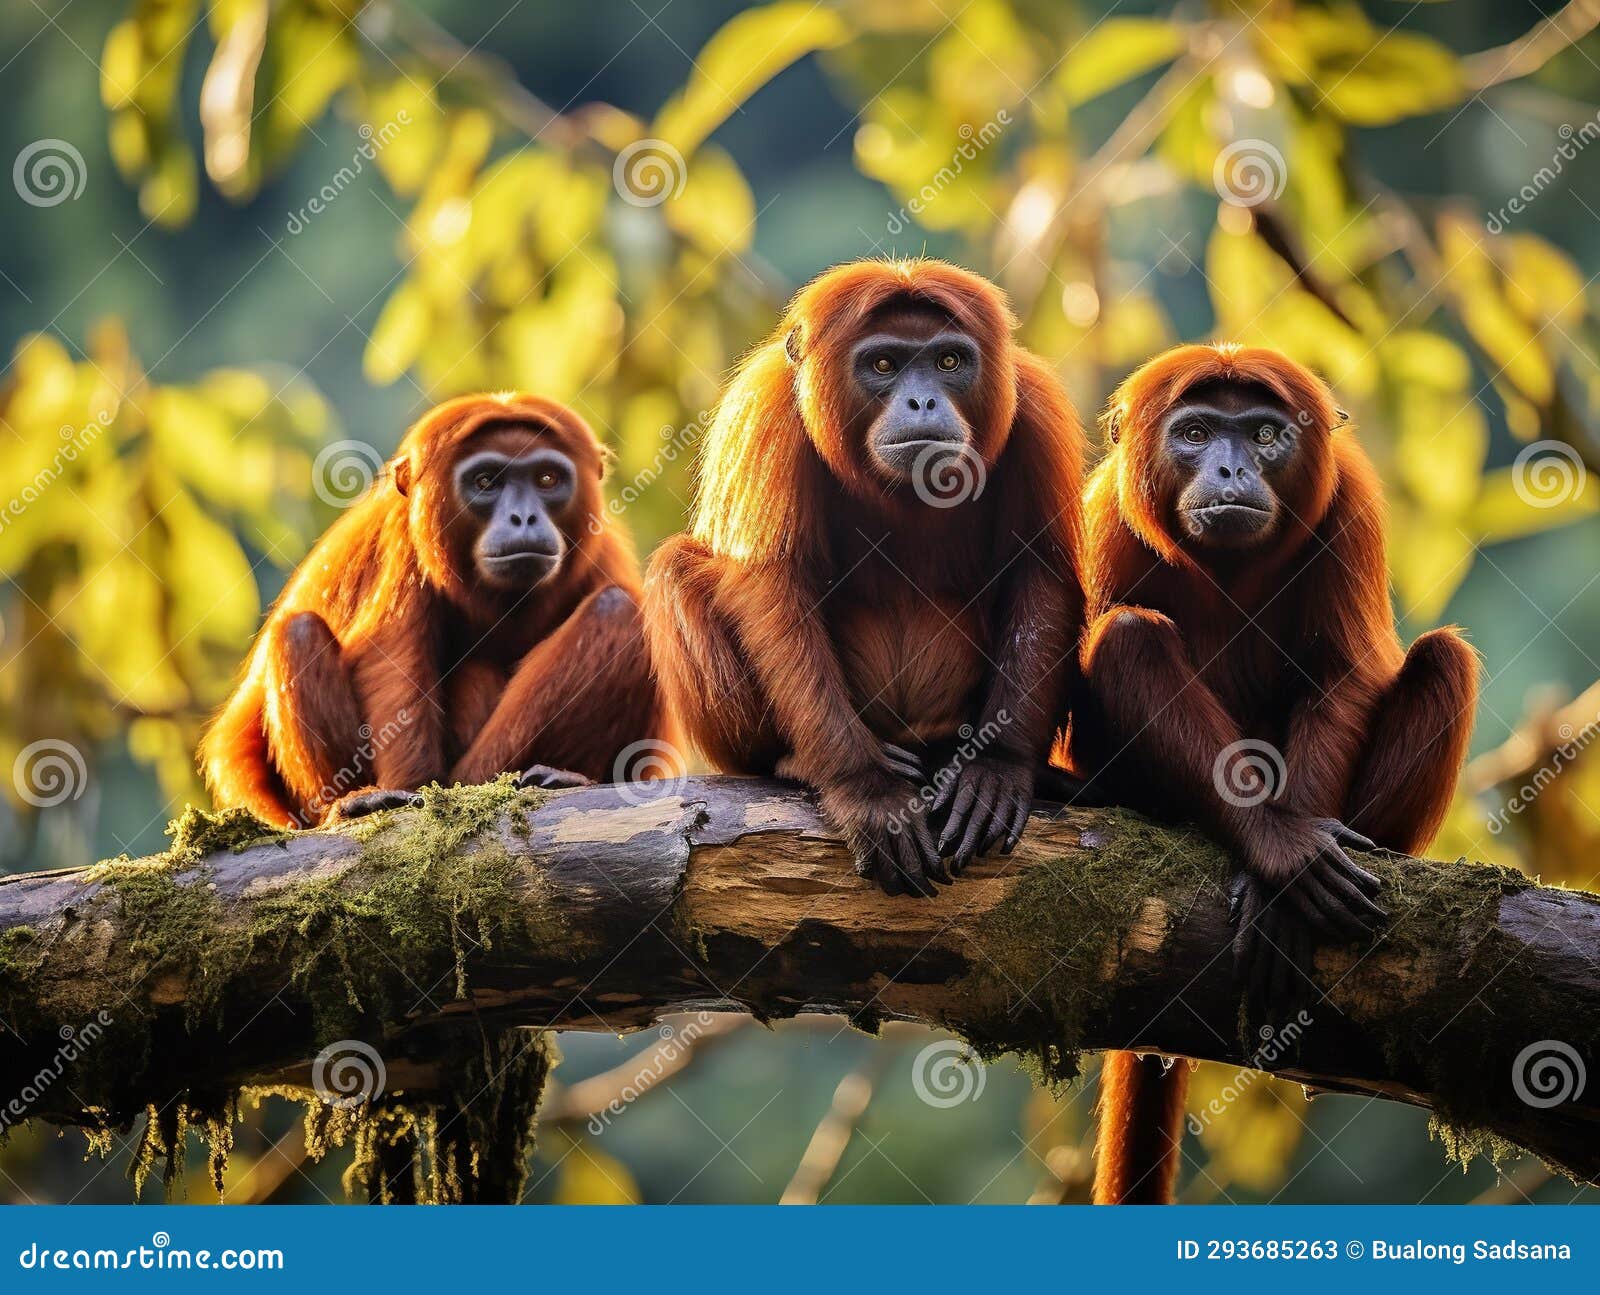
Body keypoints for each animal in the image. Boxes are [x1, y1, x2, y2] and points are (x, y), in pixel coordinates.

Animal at [201, 393, 675, 827]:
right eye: (486, 481)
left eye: (546, 478)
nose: (523, 518)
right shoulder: (402, 540)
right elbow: (391, 673)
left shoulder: (600, 552)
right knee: (297, 632)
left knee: (619, 609)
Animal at [644, 258, 1086, 896]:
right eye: (883, 366)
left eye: (948, 362)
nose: (923, 402)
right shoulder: (765, 405)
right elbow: (773, 588)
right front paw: (864, 788)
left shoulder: (1034, 405)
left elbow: (1041, 571)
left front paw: (997, 765)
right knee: (675, 567)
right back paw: (792, 762)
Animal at [1070, 343, 1479, 1203]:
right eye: (1195, 433)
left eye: (1263, 434)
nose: (1230, 468)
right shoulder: (1105, 518)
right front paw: (1281, 854)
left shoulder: (1349, 503)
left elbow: (1341, 674)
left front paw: (1289, 883)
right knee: (1126, 634)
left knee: (1445, 660)